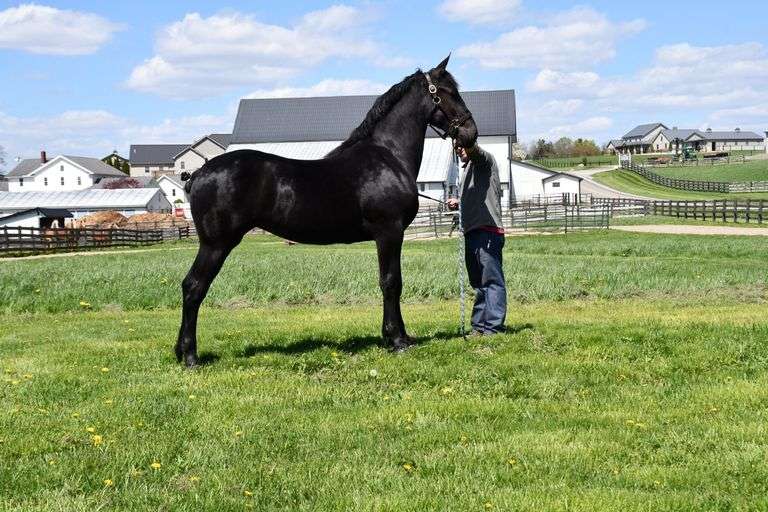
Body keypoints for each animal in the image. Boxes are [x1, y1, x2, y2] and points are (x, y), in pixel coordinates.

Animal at [176, 55, 478, 367]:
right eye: (448, 92)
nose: (470, 133)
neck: (387, 156)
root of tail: (198, 173)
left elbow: (393, 283)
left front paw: (400, 337)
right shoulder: (389, 233)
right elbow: (391, 282)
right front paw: (396, 340)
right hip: (216, 244)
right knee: (194, 287)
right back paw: (190, 356)